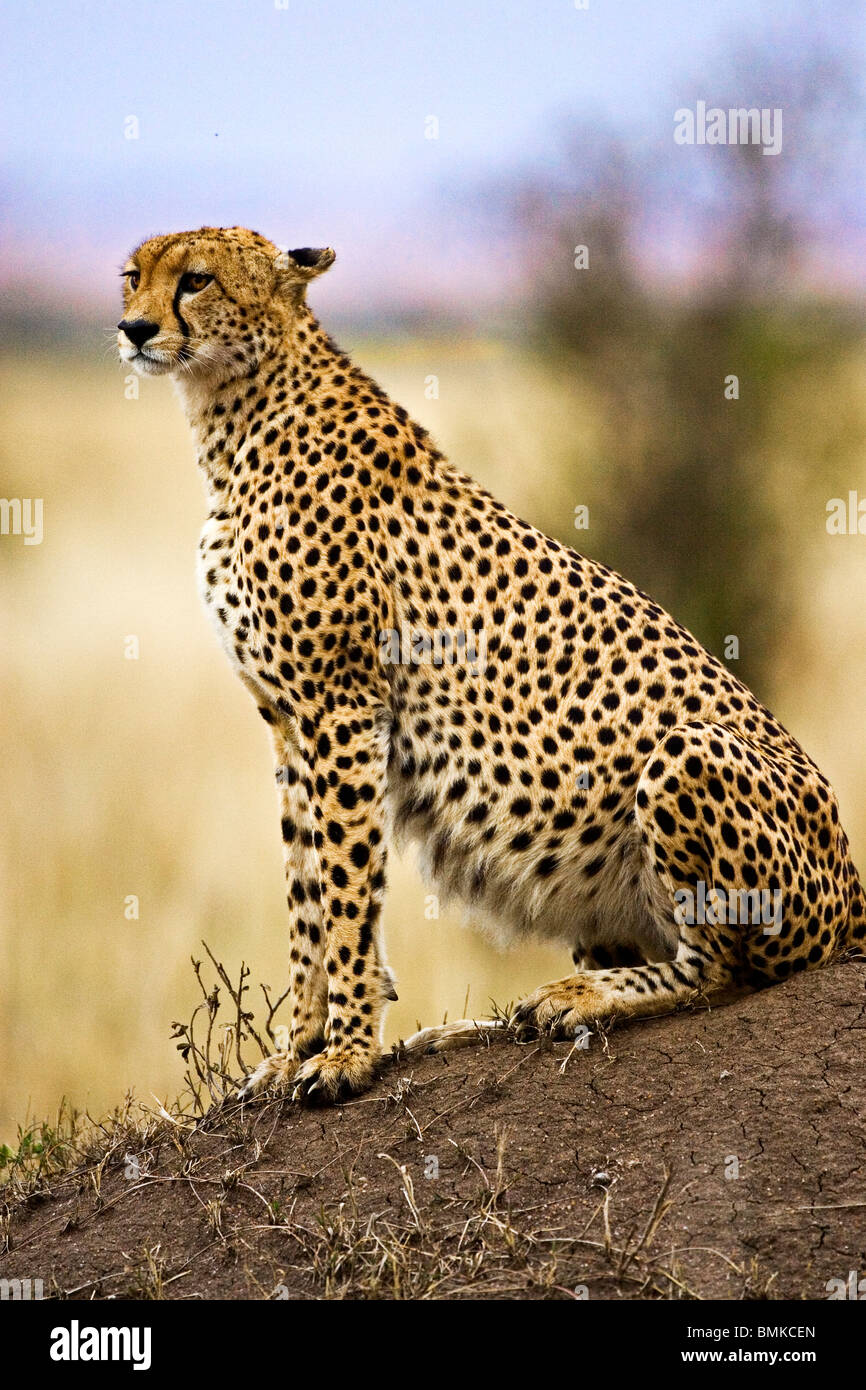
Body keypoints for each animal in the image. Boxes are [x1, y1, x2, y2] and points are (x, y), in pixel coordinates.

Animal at [117, 225, 865, 1102]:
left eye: (196, 280)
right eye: (133, 276)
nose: (134, 328)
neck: (234, 409)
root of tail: (854, 886)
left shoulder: (342, 707)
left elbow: (346, 888)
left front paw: (346, 1054)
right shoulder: (289, 724)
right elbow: (305, 890)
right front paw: (292, 1049)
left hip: (691, 755)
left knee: (723, 970)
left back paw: (575, 998)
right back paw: (472, 1027)